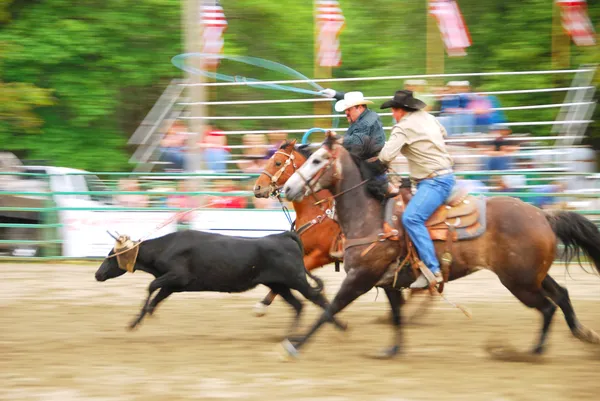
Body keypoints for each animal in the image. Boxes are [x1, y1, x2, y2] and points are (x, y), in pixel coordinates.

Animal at [282, 133, 600, 358]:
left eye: (318, 160)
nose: (286, 188)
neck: (371, 216)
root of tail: (543, 215)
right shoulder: (387, 281)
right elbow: (396, 315)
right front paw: (393, 350)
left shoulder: (360, 277)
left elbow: (329, 310)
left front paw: (294, 345)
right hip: (532, 275)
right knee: (561, 295)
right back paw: (583, 335)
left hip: (519, 282)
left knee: (547, 308)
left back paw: (532, 352)